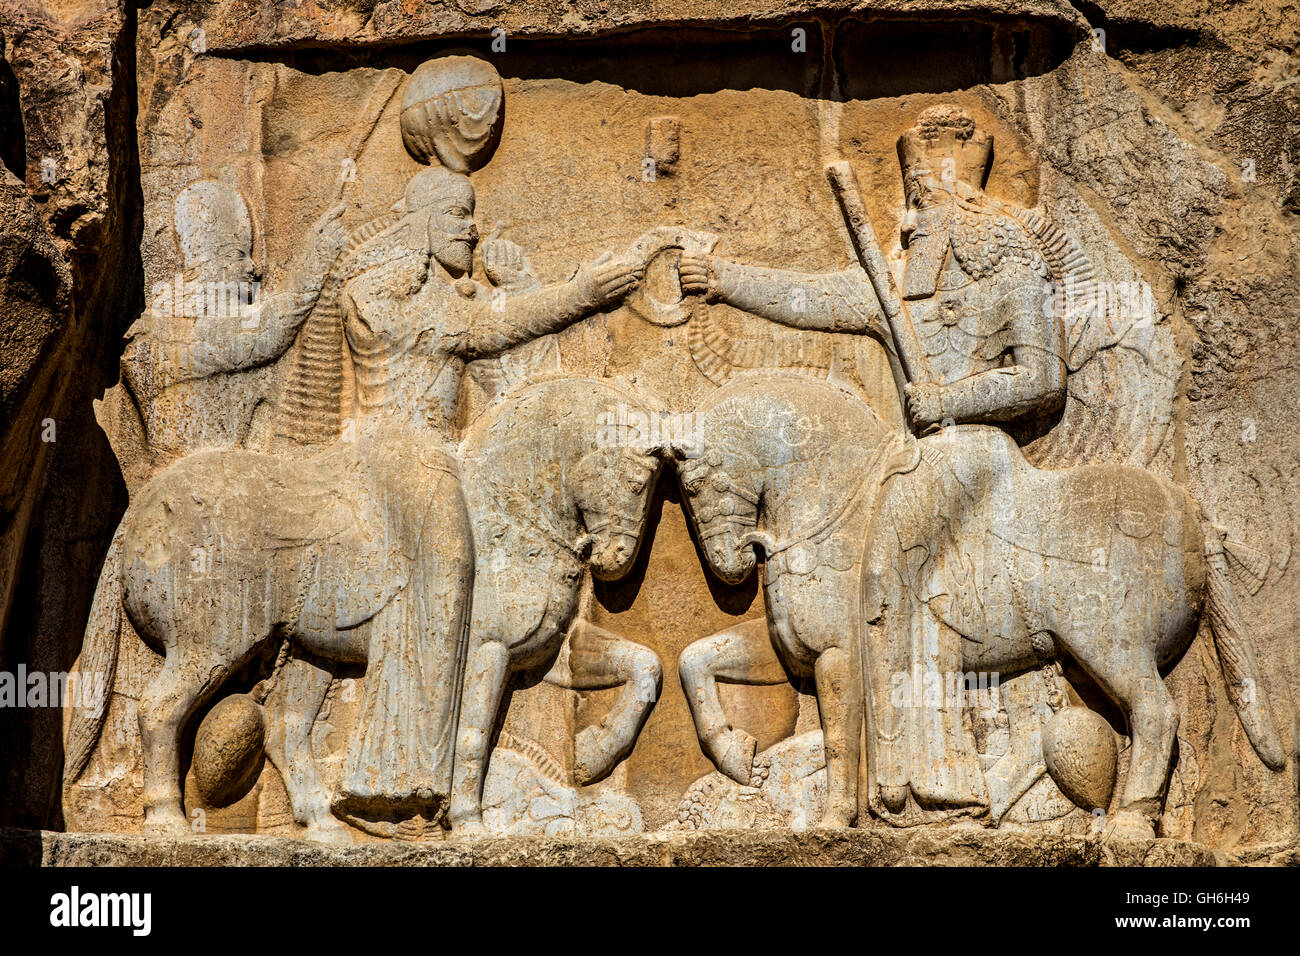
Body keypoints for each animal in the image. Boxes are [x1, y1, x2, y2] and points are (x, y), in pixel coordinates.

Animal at [676, 374, 1284, 837]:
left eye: (697, 483)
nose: (728, 566)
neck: (839, 504)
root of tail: (1192, 512)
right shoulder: (795, 652)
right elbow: (694, 657)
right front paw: (736, 755)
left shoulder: (839, 651)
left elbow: (839, 740)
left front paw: (833, 823)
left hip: (1109, 645)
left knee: (1156, 714)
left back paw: (1128, 824)